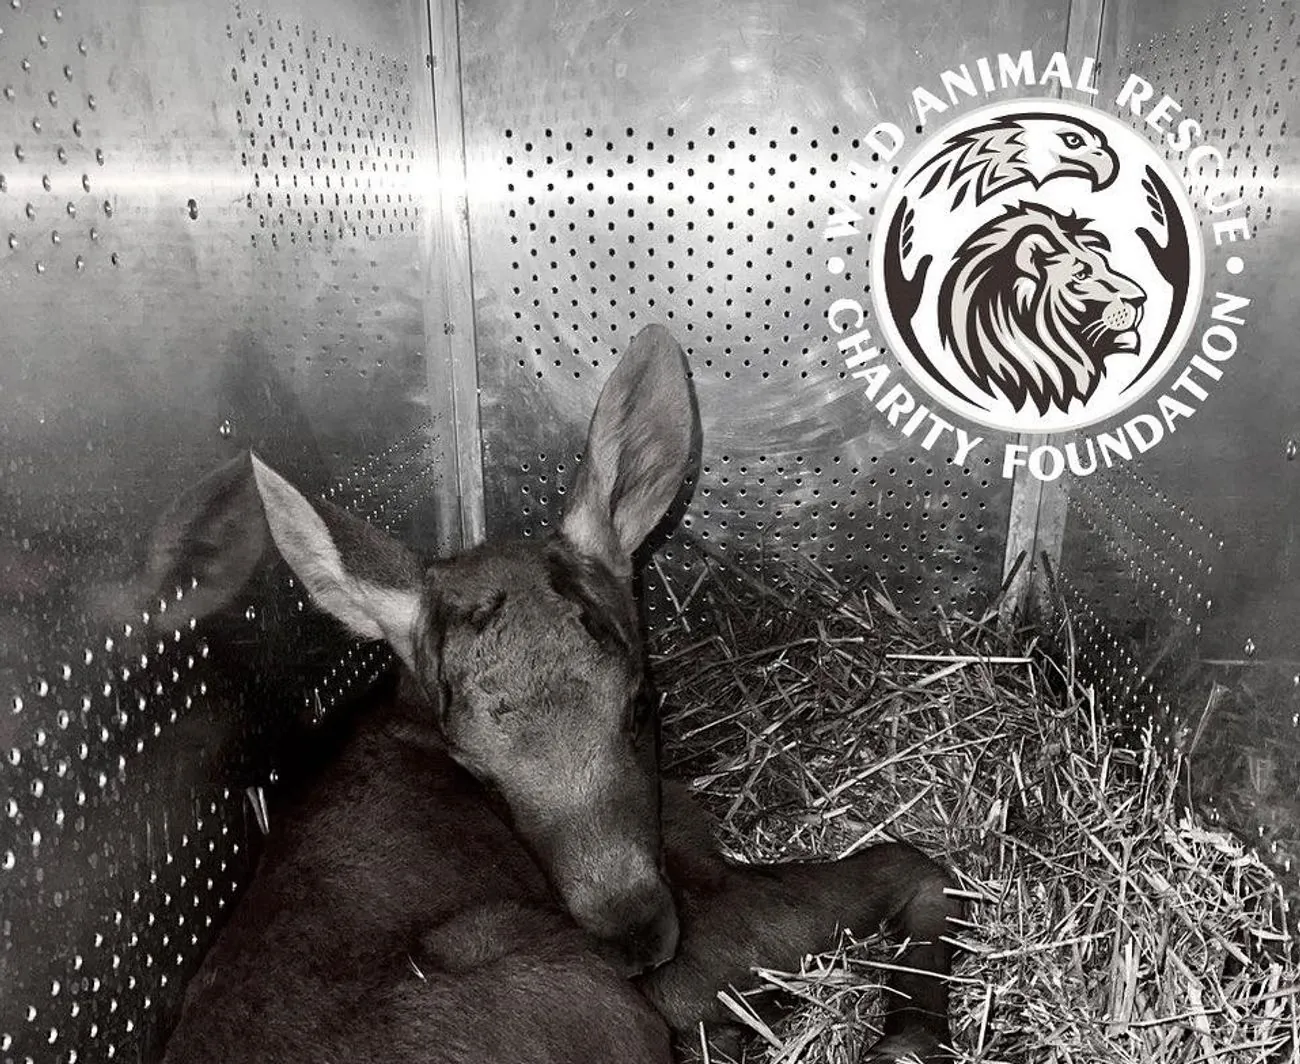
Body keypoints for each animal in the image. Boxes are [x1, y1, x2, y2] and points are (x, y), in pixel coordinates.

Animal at [161, 324, 962, 1064]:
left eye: (639, 704)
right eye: (475, 772)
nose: (636, 939)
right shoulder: (701, 948)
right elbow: (910, 866)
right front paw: (910, 1032)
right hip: (566, 977)